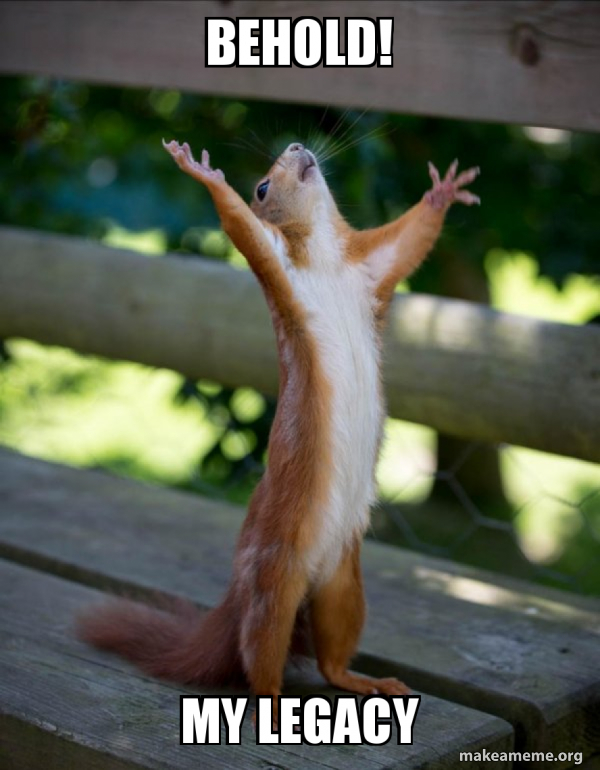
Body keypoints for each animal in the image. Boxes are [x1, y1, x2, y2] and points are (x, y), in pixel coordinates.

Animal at [77, 138, 479, 727]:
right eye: (262, 187)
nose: (296, 146)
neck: (327, 258)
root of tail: (239, 594)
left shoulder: (371, 267)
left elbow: (410, 240)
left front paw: (443, 192)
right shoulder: (277, 265)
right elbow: (240, 226)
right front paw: (204, 173)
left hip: (343, 587)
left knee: (331, 659)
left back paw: (365, 680)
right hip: (273, 584)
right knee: (258, 656)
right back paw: (272, 702)